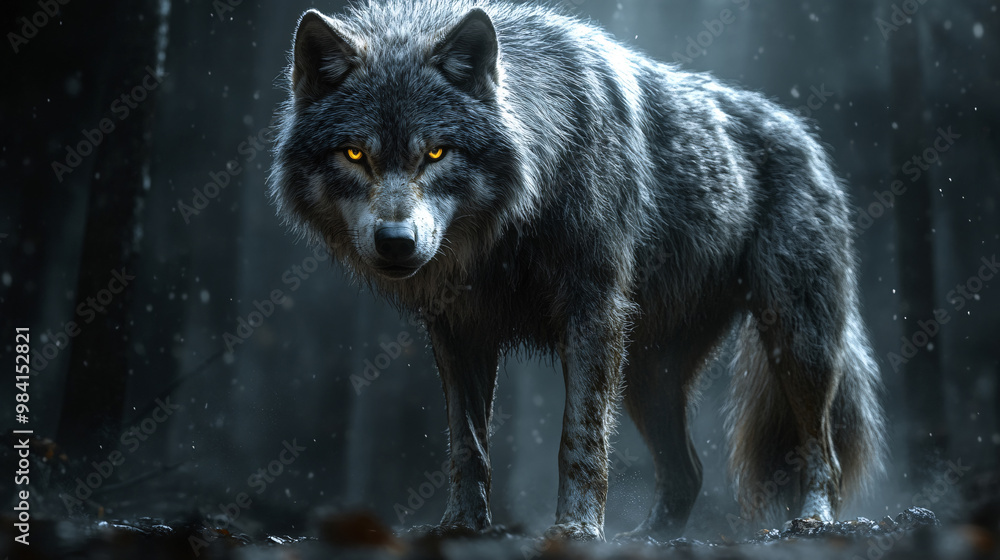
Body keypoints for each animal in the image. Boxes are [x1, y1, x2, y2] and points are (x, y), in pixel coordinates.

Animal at [269, 0, 886, 541]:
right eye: (355, 155)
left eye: (437, 153)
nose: (396, 242)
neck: (511, 229)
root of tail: (804, 133)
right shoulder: (460, 330)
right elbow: (467, 446)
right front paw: (462, 527)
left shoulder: (594, 312)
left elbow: (580, 438)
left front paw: (576, 530)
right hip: (649, 375)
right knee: (688, 471)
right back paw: (652, 538)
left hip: (794, 341)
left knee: (822, 451)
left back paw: (813, 521)